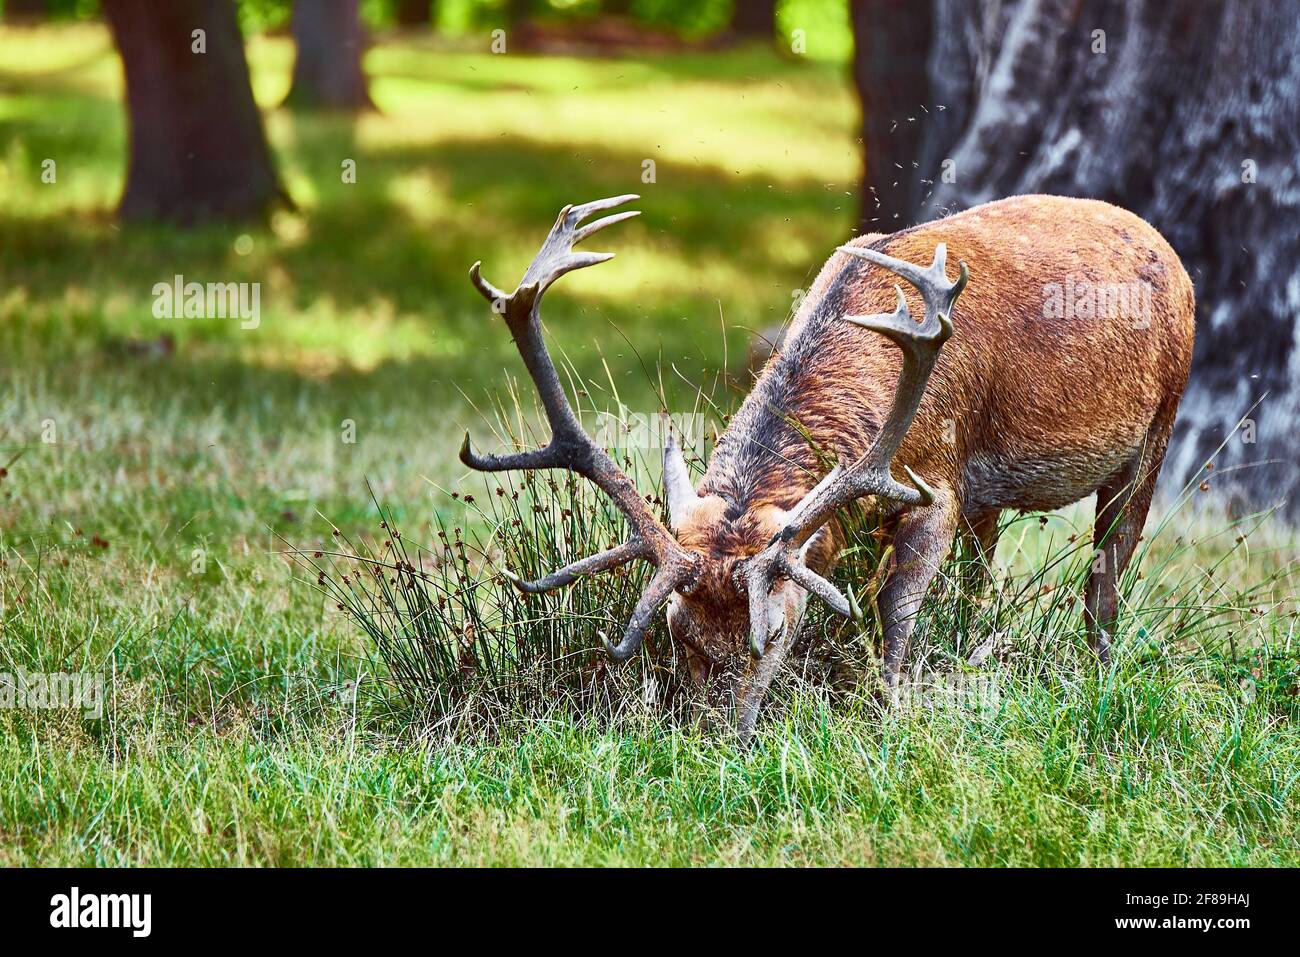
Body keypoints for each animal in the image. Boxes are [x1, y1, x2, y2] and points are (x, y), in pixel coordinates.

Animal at [461, 193, 1196, 736]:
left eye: (778, 631)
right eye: (675, 629)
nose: (718, 736)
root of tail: (1167, 248)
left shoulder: (938, 484)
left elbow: (896, 608)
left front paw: (887, 713)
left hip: (1159, 424)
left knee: (1105, 577)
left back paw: (1101, 673)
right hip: (995, 500)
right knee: (980, 582)